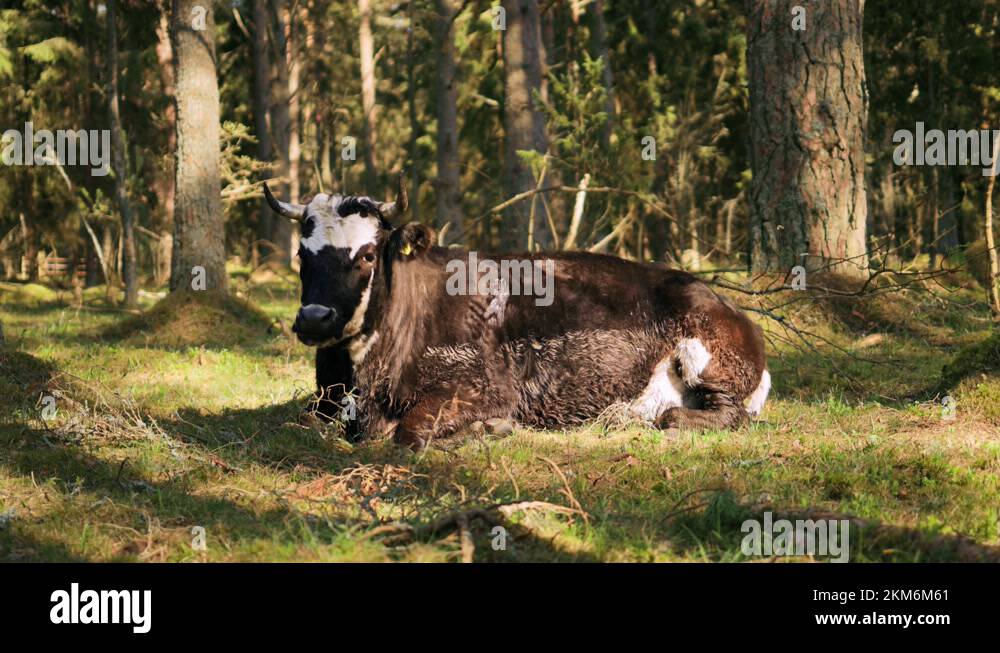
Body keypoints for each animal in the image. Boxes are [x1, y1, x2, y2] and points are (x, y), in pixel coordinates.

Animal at [264, 182, 771, 449]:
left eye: (368, 255)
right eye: (302, 253)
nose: (314, 318)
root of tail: (727, 304)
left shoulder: (485, 387)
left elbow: (410, 429)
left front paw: (488, 428)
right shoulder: (324, 399)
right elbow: (299, 419)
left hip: (710, 360)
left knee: (720, 415)